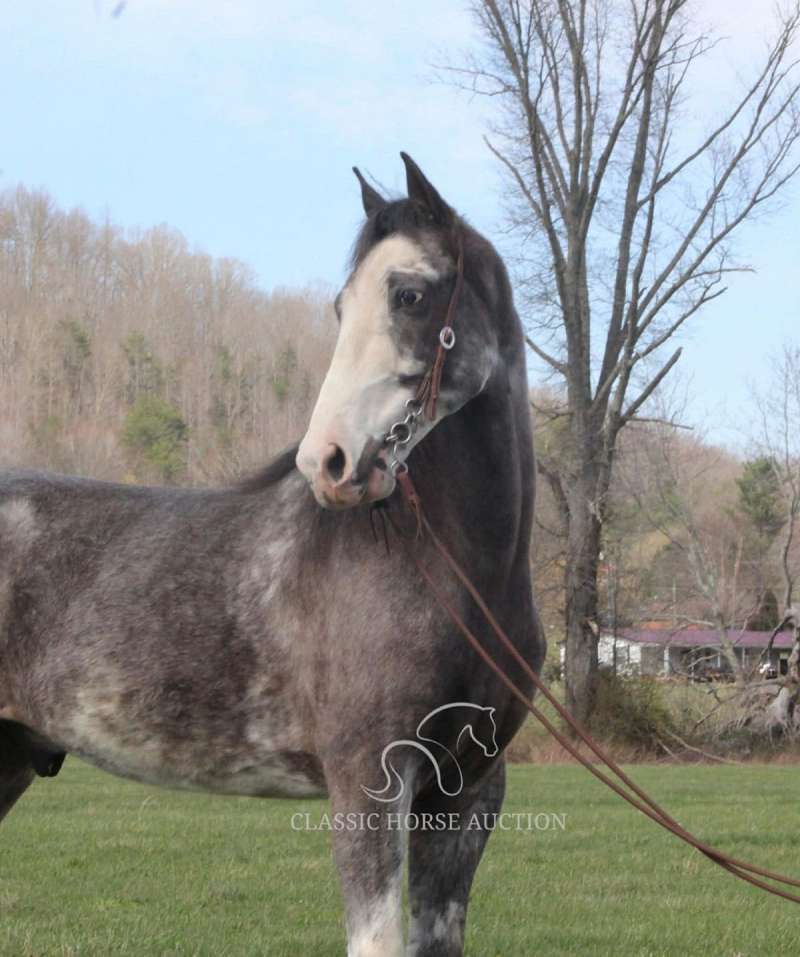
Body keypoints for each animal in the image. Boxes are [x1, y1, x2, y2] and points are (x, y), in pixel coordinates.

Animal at [0, 153, 545, 957]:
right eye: (341, 308)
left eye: (409, 295)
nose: (330, 462)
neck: (455, 570)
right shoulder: (370, 783)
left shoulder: (467, 794)